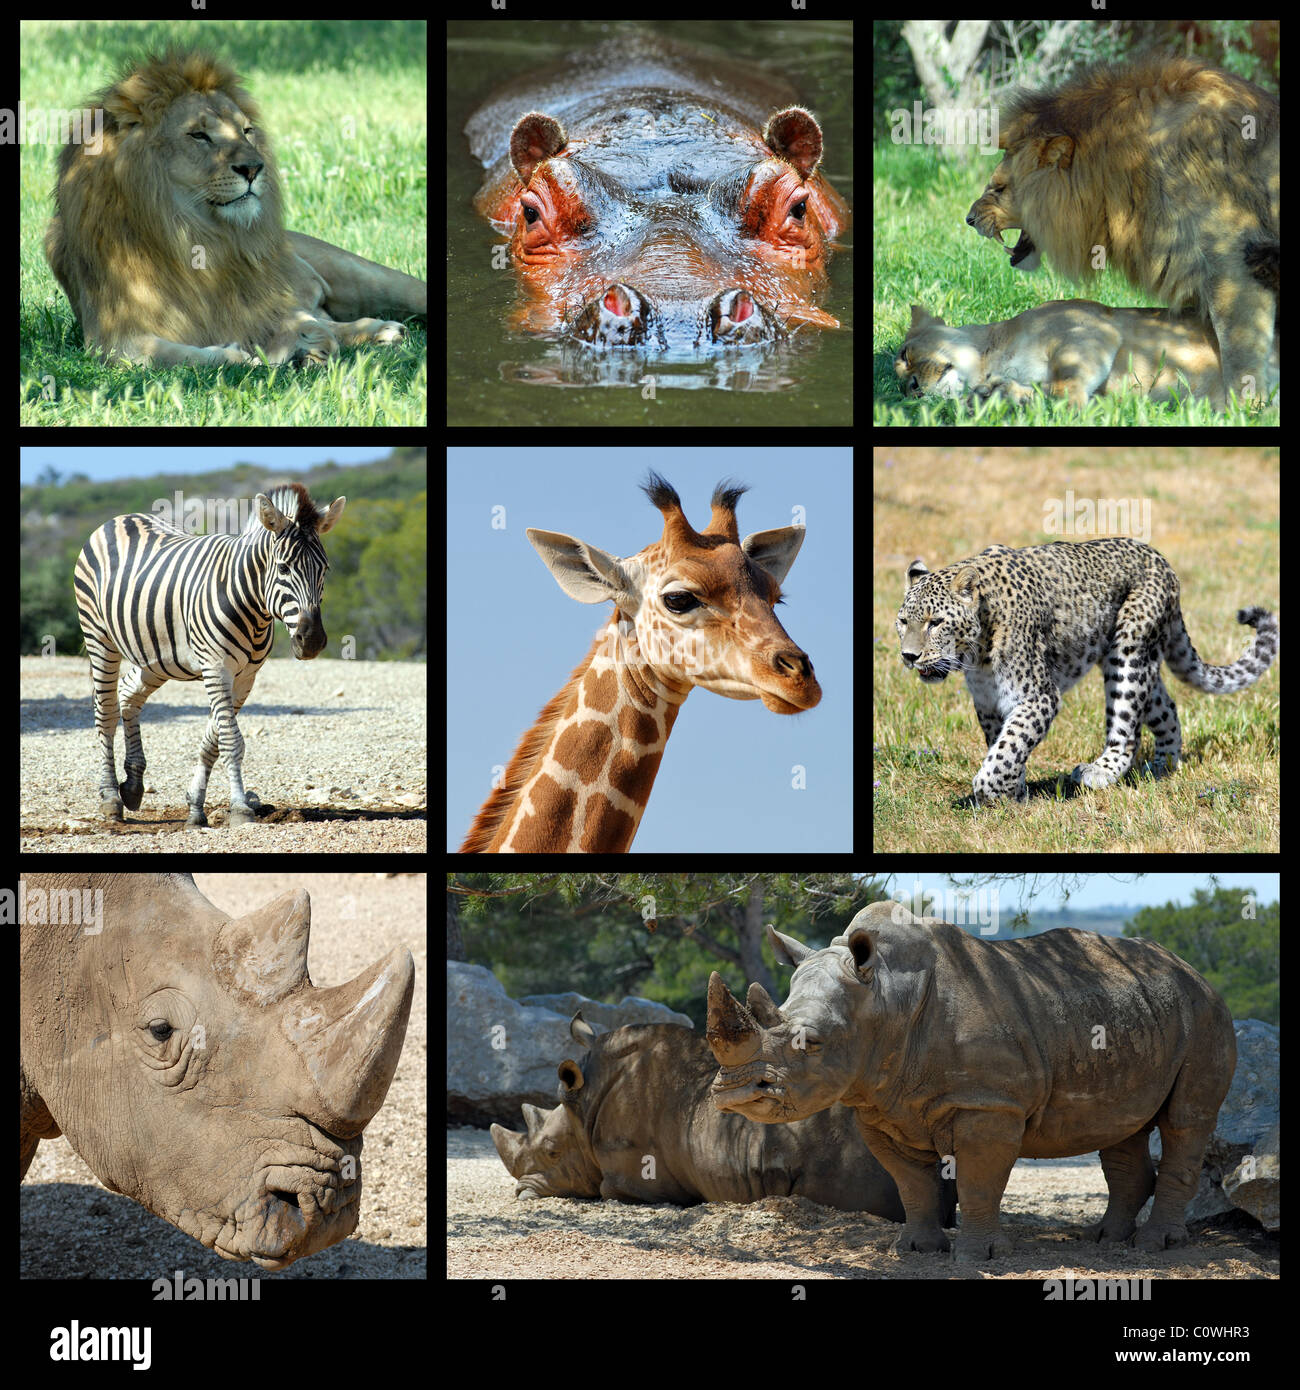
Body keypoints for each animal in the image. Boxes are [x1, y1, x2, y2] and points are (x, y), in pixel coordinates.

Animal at [44, 51, 428, 367]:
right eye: (199, 135)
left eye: (246, 131)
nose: (254, 168)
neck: (192, 236)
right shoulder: (111, 337)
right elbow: (168, 355)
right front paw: (241, 356)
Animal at [73, 482, 345, 828]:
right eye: (283, 568)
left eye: (325, 569)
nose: (312, 641)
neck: (250, 602)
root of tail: (119, 519)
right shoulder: (216, 668)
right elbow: (231, 740)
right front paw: (240, 807)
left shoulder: (245, 677)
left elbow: (212, 742)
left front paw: (195, 807)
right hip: (99, 637)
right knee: (106, 712)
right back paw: (110, 798)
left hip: (157, 656)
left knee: (128, 693)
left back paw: (133, 785)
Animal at [707, 906, 1237, 1262]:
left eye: (811, 1042)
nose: (734, 1090)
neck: (885, 1000)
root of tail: (1194, 971)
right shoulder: (881, 1105)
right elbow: (911, 1182)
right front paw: (916, 1249)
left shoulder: (990, 1105)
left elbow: (979, 1181)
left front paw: (977, 1257)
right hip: (1139, 1015)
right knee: (1122, 1125)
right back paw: (1106, 1239)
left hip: (1205, 1015)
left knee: (1186, 1121)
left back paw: (1156, 1246)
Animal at [895, 301, 1279, 409]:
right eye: (899, 384)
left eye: (905, 354)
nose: (910, 388)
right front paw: (996, 396)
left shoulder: (1092, 332)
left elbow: (1064, 387)